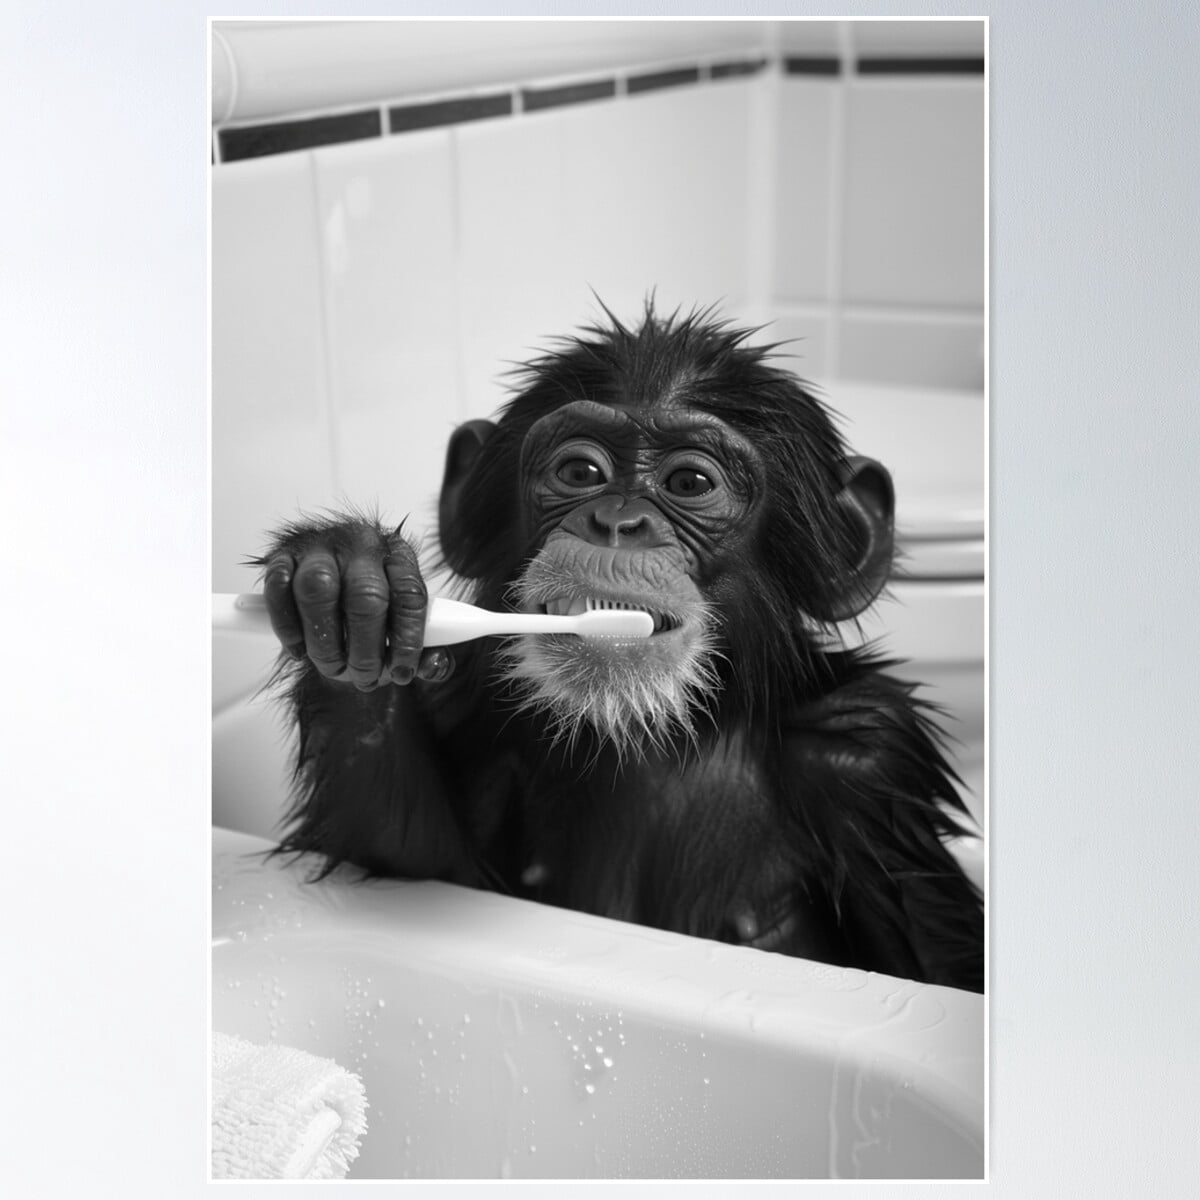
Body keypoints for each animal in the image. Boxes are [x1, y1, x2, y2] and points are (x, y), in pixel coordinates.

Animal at [255, 302, 983, 992]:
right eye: (580, 471)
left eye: (690, 484)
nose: (617, 521)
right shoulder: (472, 709)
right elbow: (418, 860)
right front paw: (351, 586)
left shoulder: (871, 762)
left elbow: (940, 965)